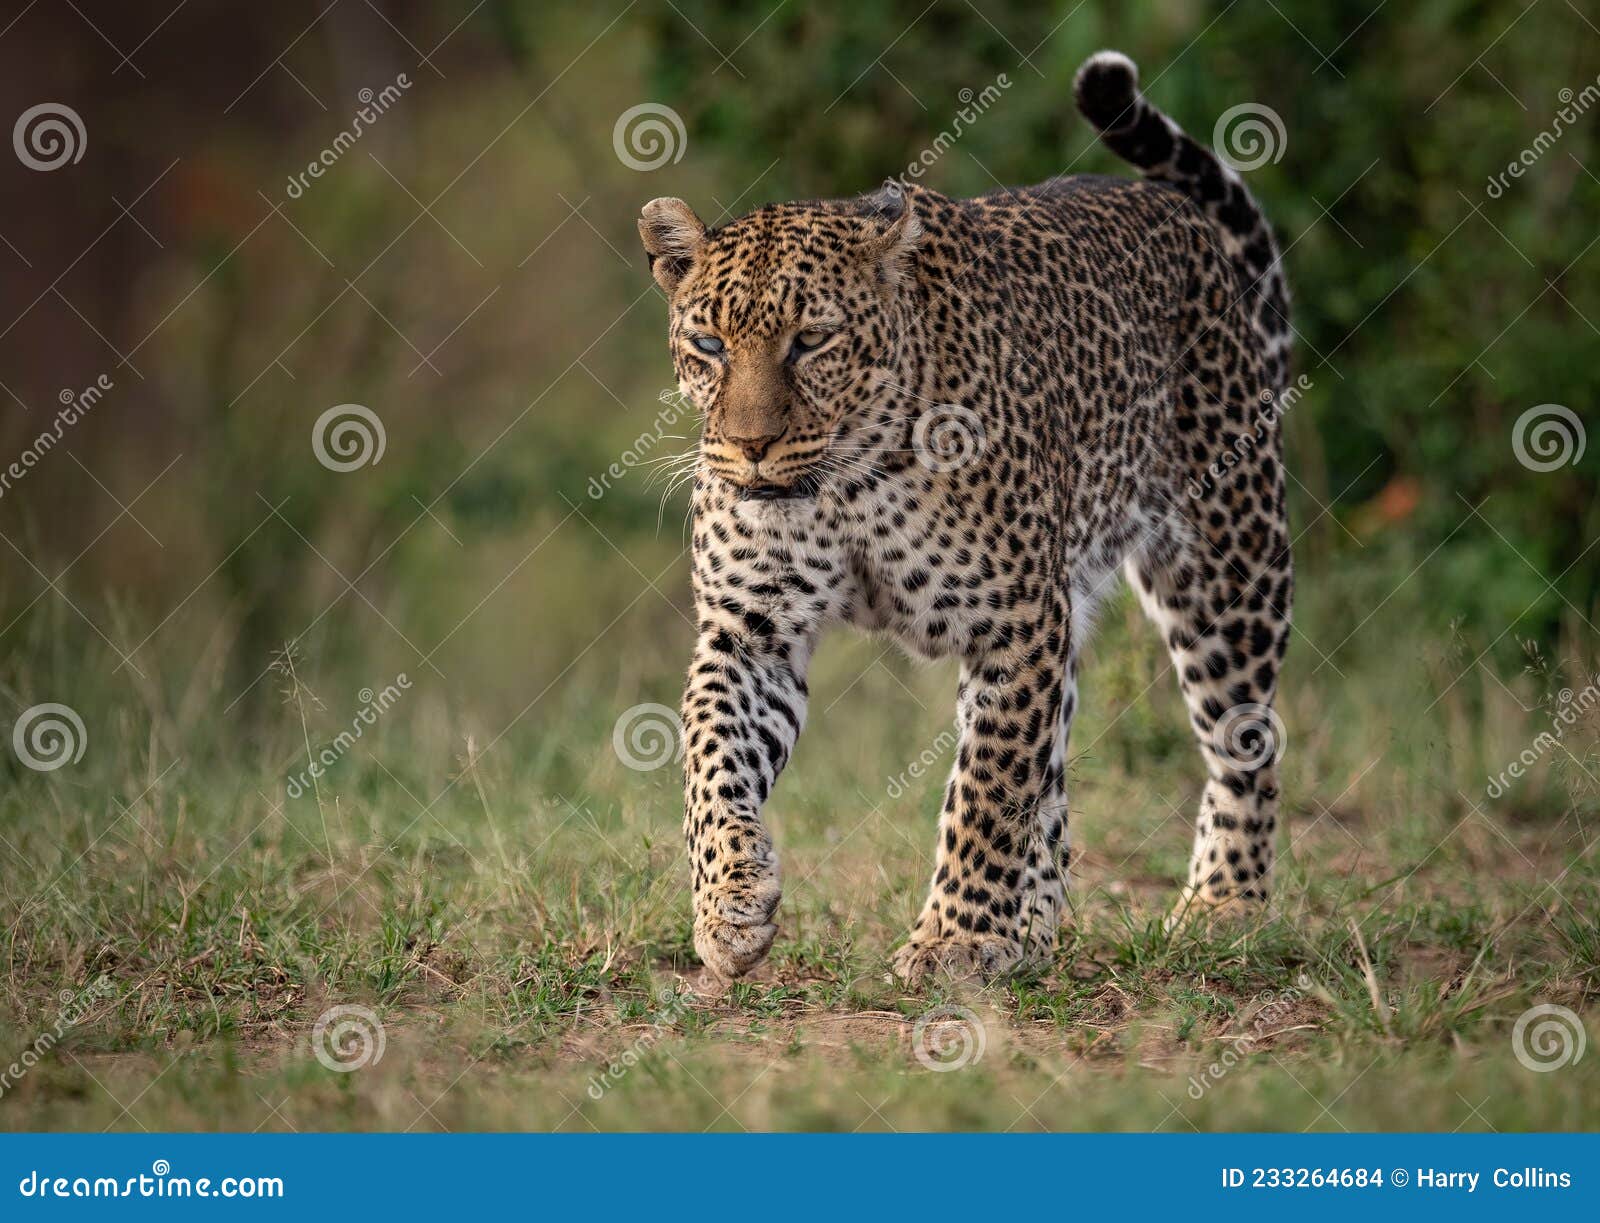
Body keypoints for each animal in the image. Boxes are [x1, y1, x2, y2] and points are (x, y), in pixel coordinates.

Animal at [637, 51, 1294, 984]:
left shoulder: (1013, 624)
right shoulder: (750, 628)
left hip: (1223, 559)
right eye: (709, 346)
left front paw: (951, 937)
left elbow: (987, 787)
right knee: (1057, 777)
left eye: (812, 342)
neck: (848, 481)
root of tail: (1181, 217)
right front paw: (730, 902)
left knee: (1246, 736)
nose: (750, 446)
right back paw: (1031, 935)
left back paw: (1223, 903)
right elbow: (710, 759)